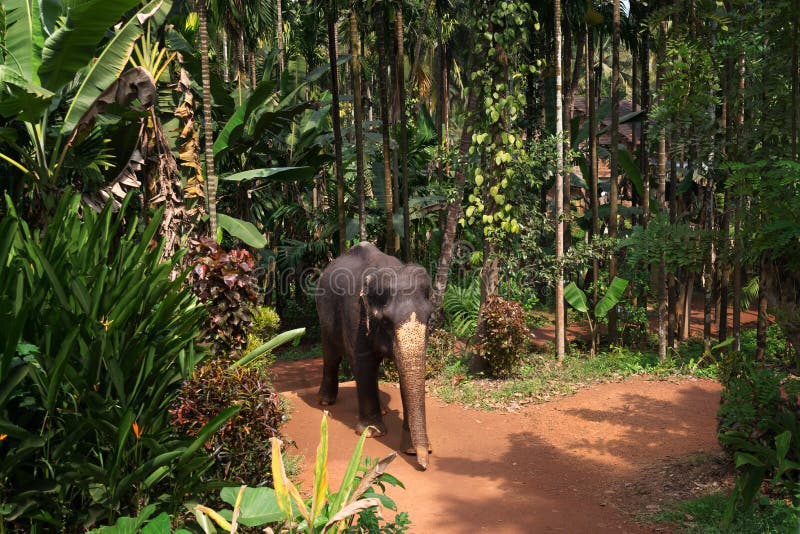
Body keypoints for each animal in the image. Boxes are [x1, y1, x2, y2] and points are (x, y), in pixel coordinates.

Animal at [316, 242, 432, 470]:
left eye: (430, 319)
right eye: (386, 322)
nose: (423, 465)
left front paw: (410, 449)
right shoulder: (356, 313)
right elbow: (364, 364)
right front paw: (371, 432)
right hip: (323, 314)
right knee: (331, 355)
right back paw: (325, 402)